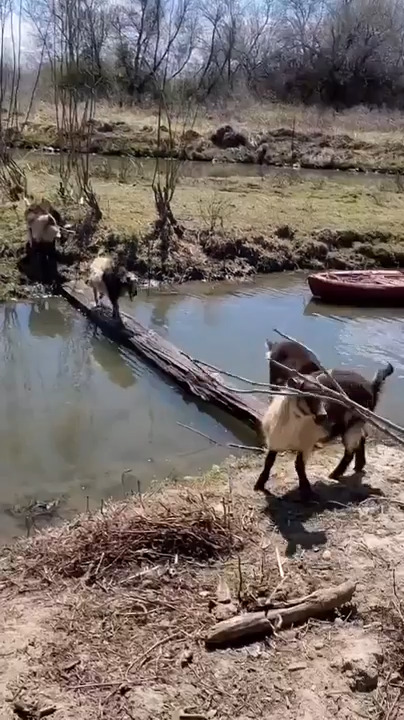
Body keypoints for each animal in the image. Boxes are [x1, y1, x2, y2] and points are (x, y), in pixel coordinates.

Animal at [255, 362, 394, 501]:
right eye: (308, 395)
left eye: (324, 394)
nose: (323, 415)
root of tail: (371, 386)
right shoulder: (275, 441)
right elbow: (268, 462)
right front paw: (259, 485)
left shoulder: (306, 444)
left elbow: (299, 465)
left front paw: (306, 490)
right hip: (357, 424)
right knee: (362, 438)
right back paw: (359, 465)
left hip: (354, 424)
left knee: (350, 450)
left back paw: (334, 474)